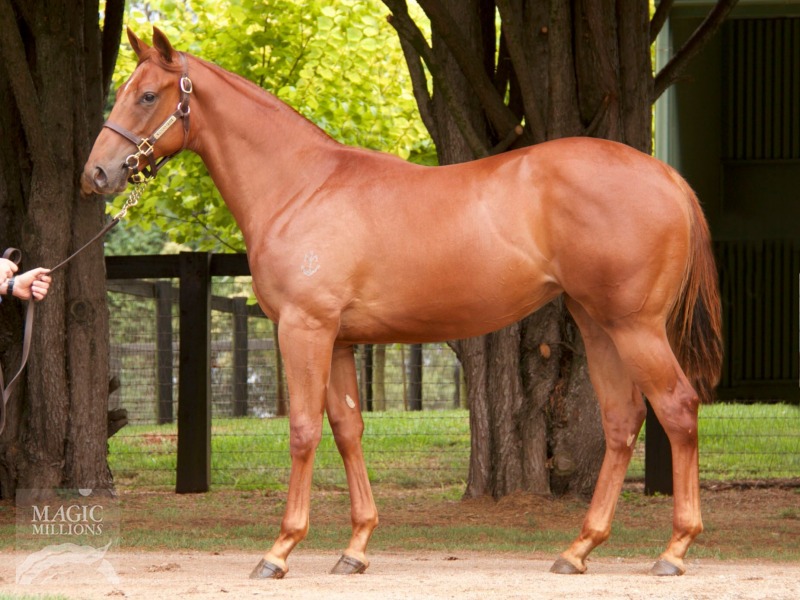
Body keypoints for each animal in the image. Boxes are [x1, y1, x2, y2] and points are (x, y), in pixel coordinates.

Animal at [82, 28, 722, 580]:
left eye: (146, 94)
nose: (97, 174)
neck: (301, 186)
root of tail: (666, 176)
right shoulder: (340, 340)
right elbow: (347, 429)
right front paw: (356, 547)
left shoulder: (304, 330)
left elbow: (303, 431)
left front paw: (280, 550)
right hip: (597, 325)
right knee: (622, 421)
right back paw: (579, 549)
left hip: (635, 327)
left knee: (677, 407)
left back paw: (673, 550)